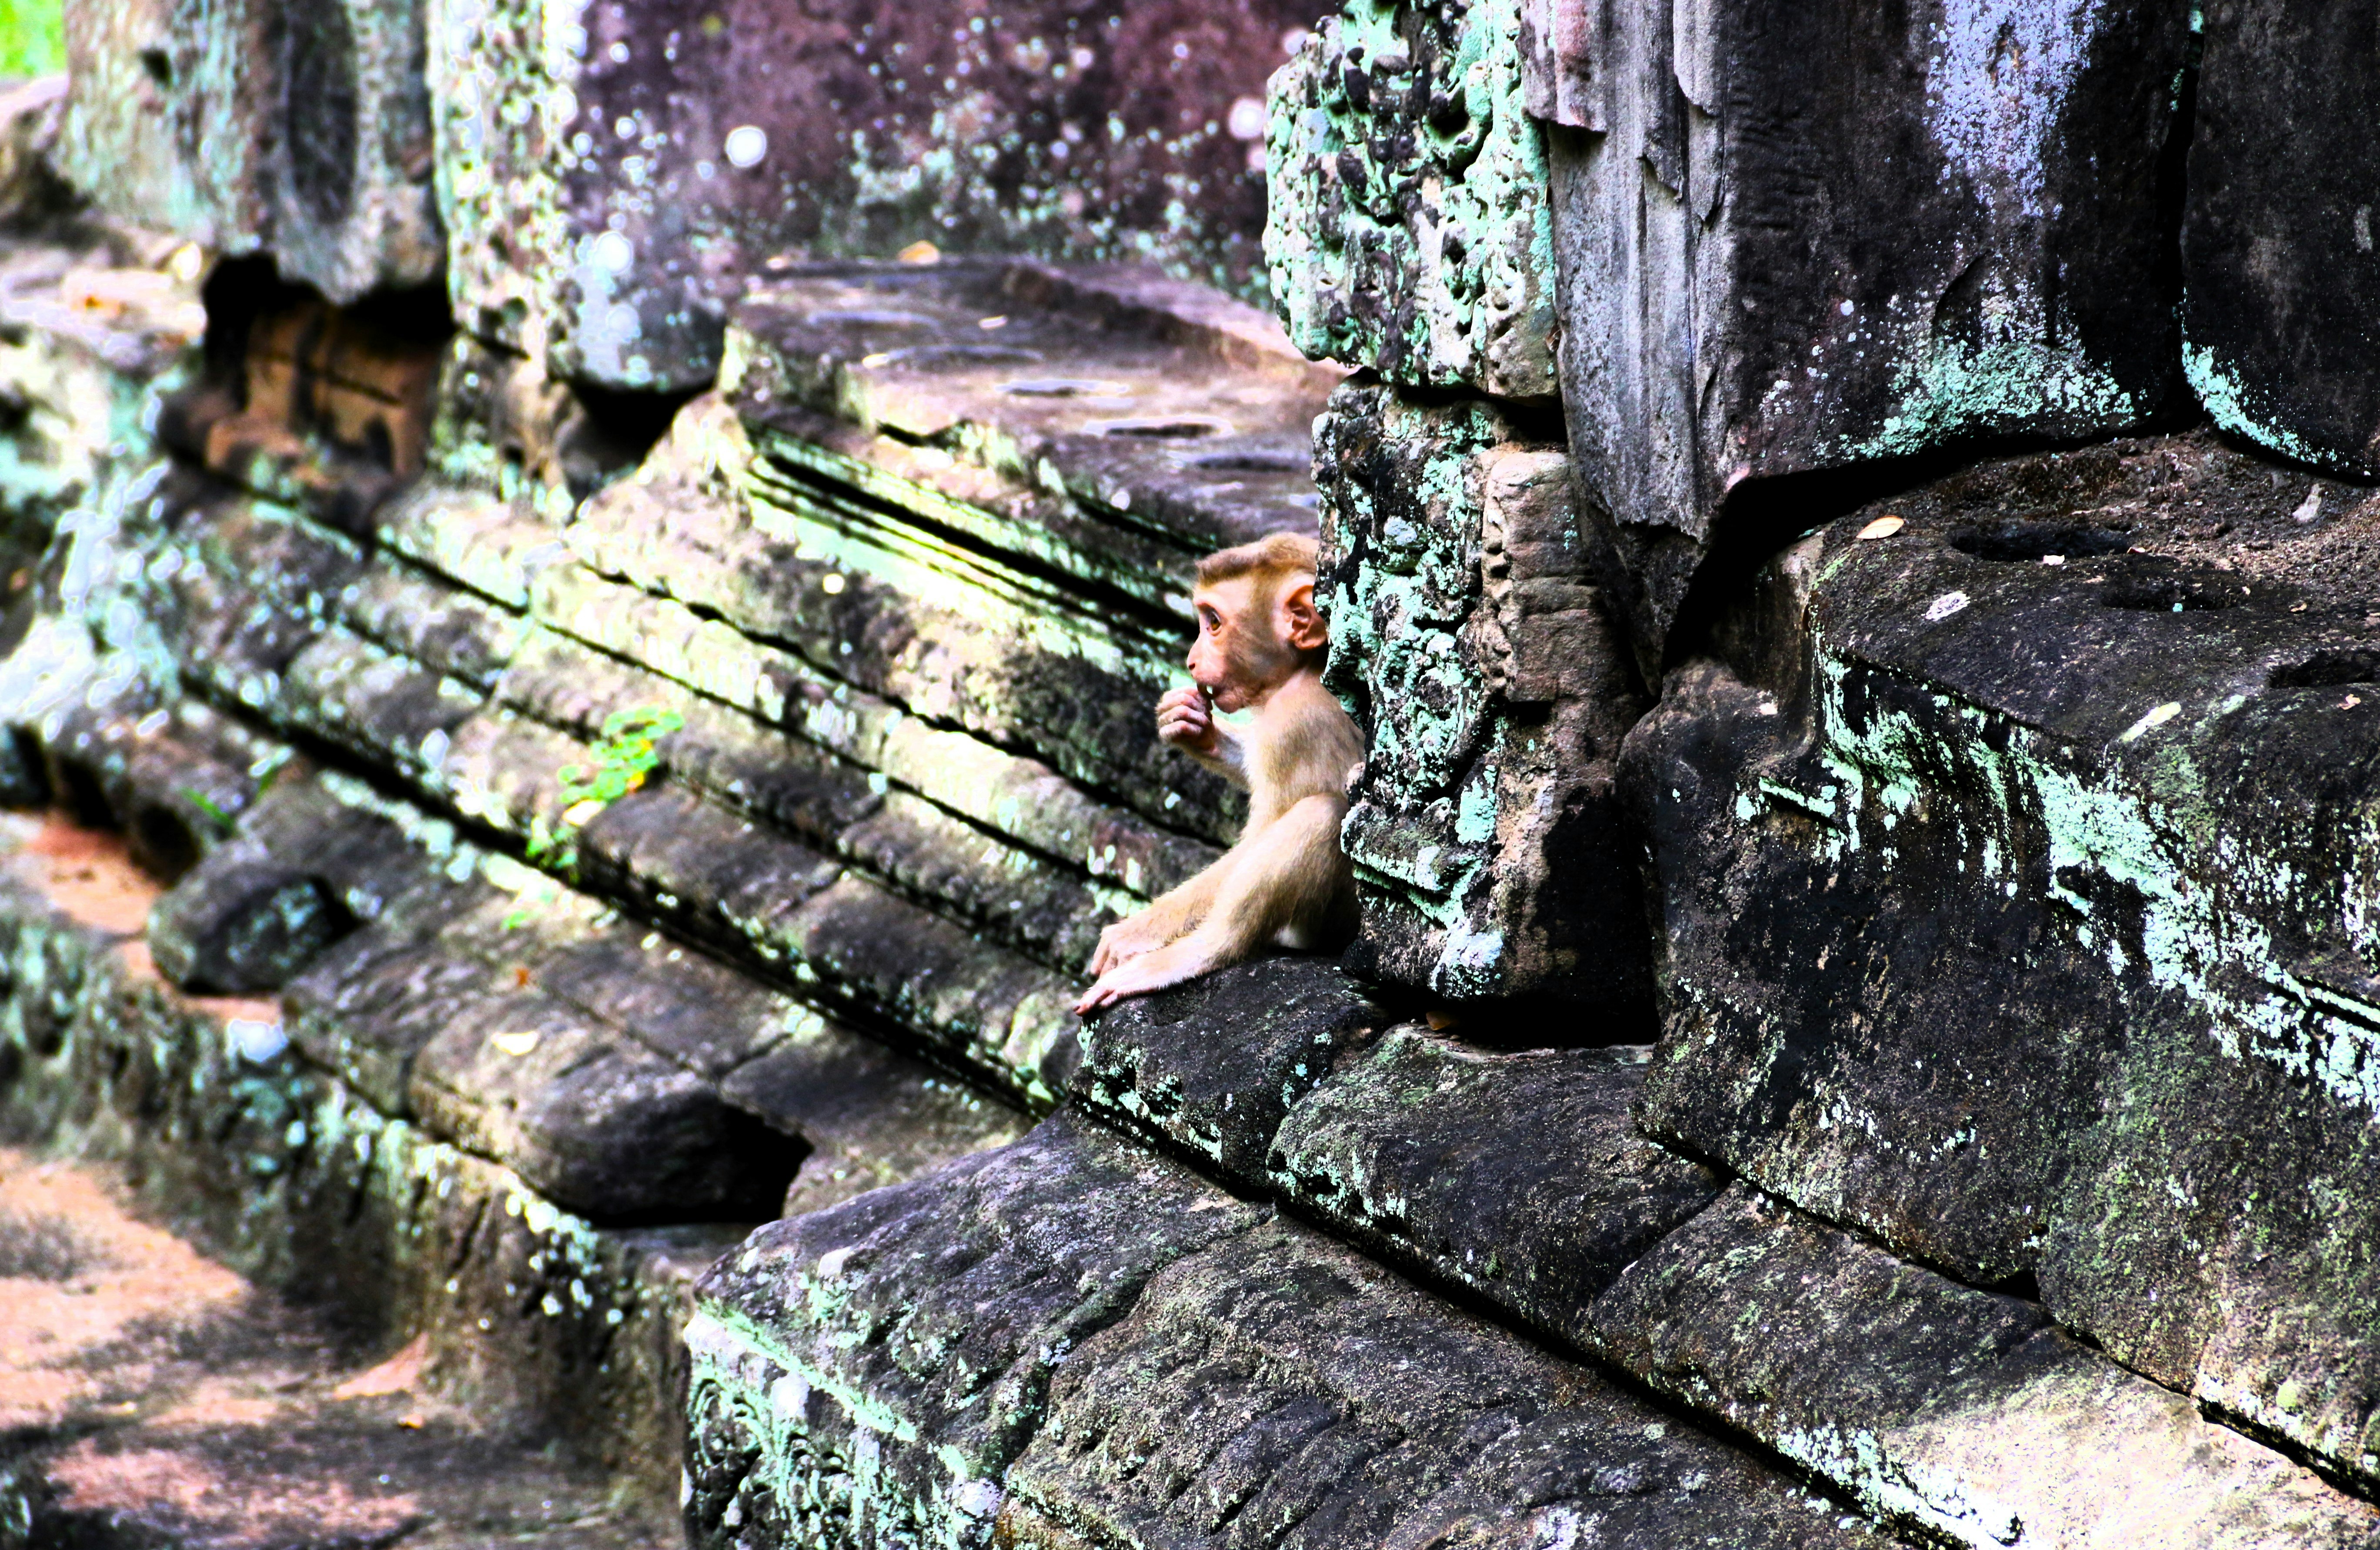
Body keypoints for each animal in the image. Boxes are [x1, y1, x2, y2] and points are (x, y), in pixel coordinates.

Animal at [1073, 532, 1363, 1014]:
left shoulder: (1292, 731)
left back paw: (1202, 951)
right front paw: (1192, 726)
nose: (1191, 661)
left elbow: (1257, 839)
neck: (1304, 674)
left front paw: (1135, 933)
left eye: (1213, 623)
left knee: (1321, 815)